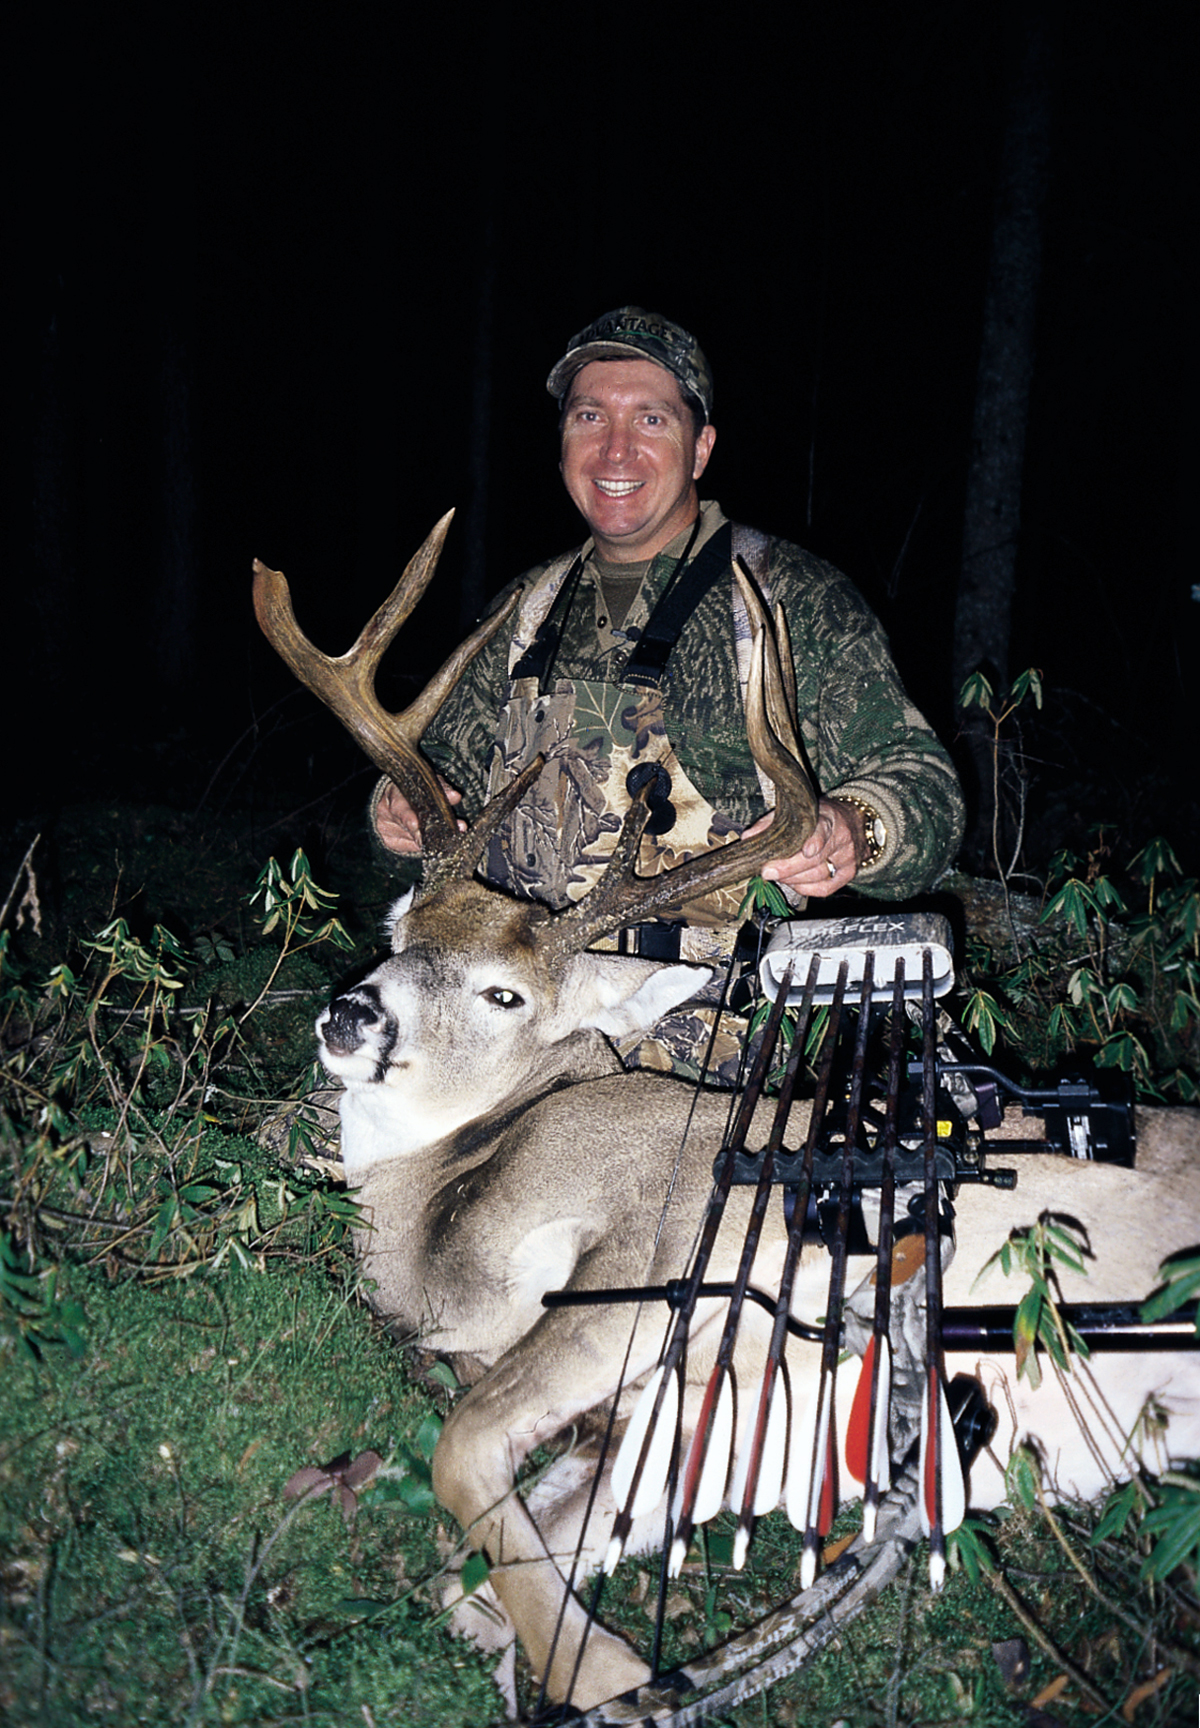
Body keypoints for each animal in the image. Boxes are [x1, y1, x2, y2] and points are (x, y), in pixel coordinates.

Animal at [253, 514, 1200, 1720]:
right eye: (400, 927)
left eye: (506, 995)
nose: (350, 1013)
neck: (449, 1209)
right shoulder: (671, 1423)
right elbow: (476, 1573)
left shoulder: (650, 1261)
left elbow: (461, 1454)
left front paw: (616, 1678)